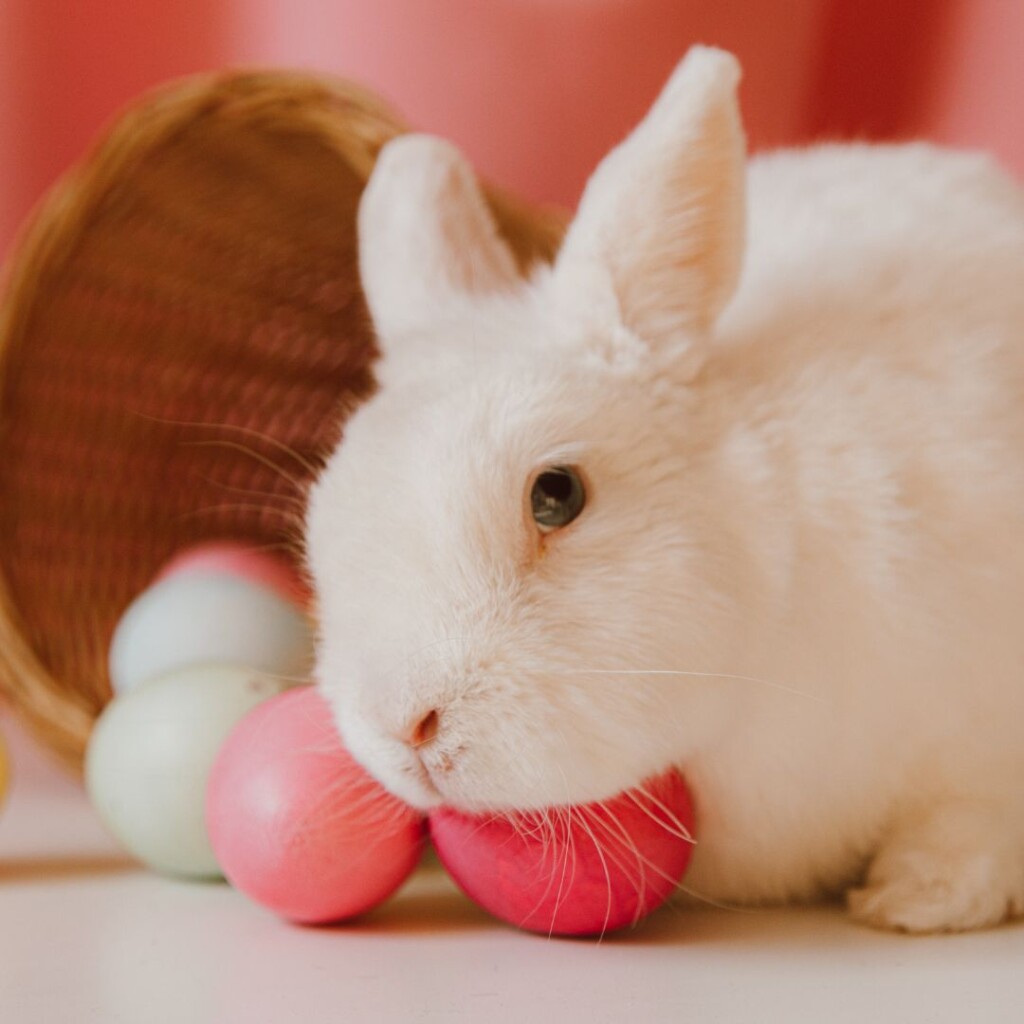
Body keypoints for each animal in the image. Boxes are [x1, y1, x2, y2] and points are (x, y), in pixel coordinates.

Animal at [305, 45, 1024, 933]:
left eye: (556, 495)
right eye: (321, 524)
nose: (403, 726)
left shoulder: (984, 734)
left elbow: (971, 816)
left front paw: (917, 898)